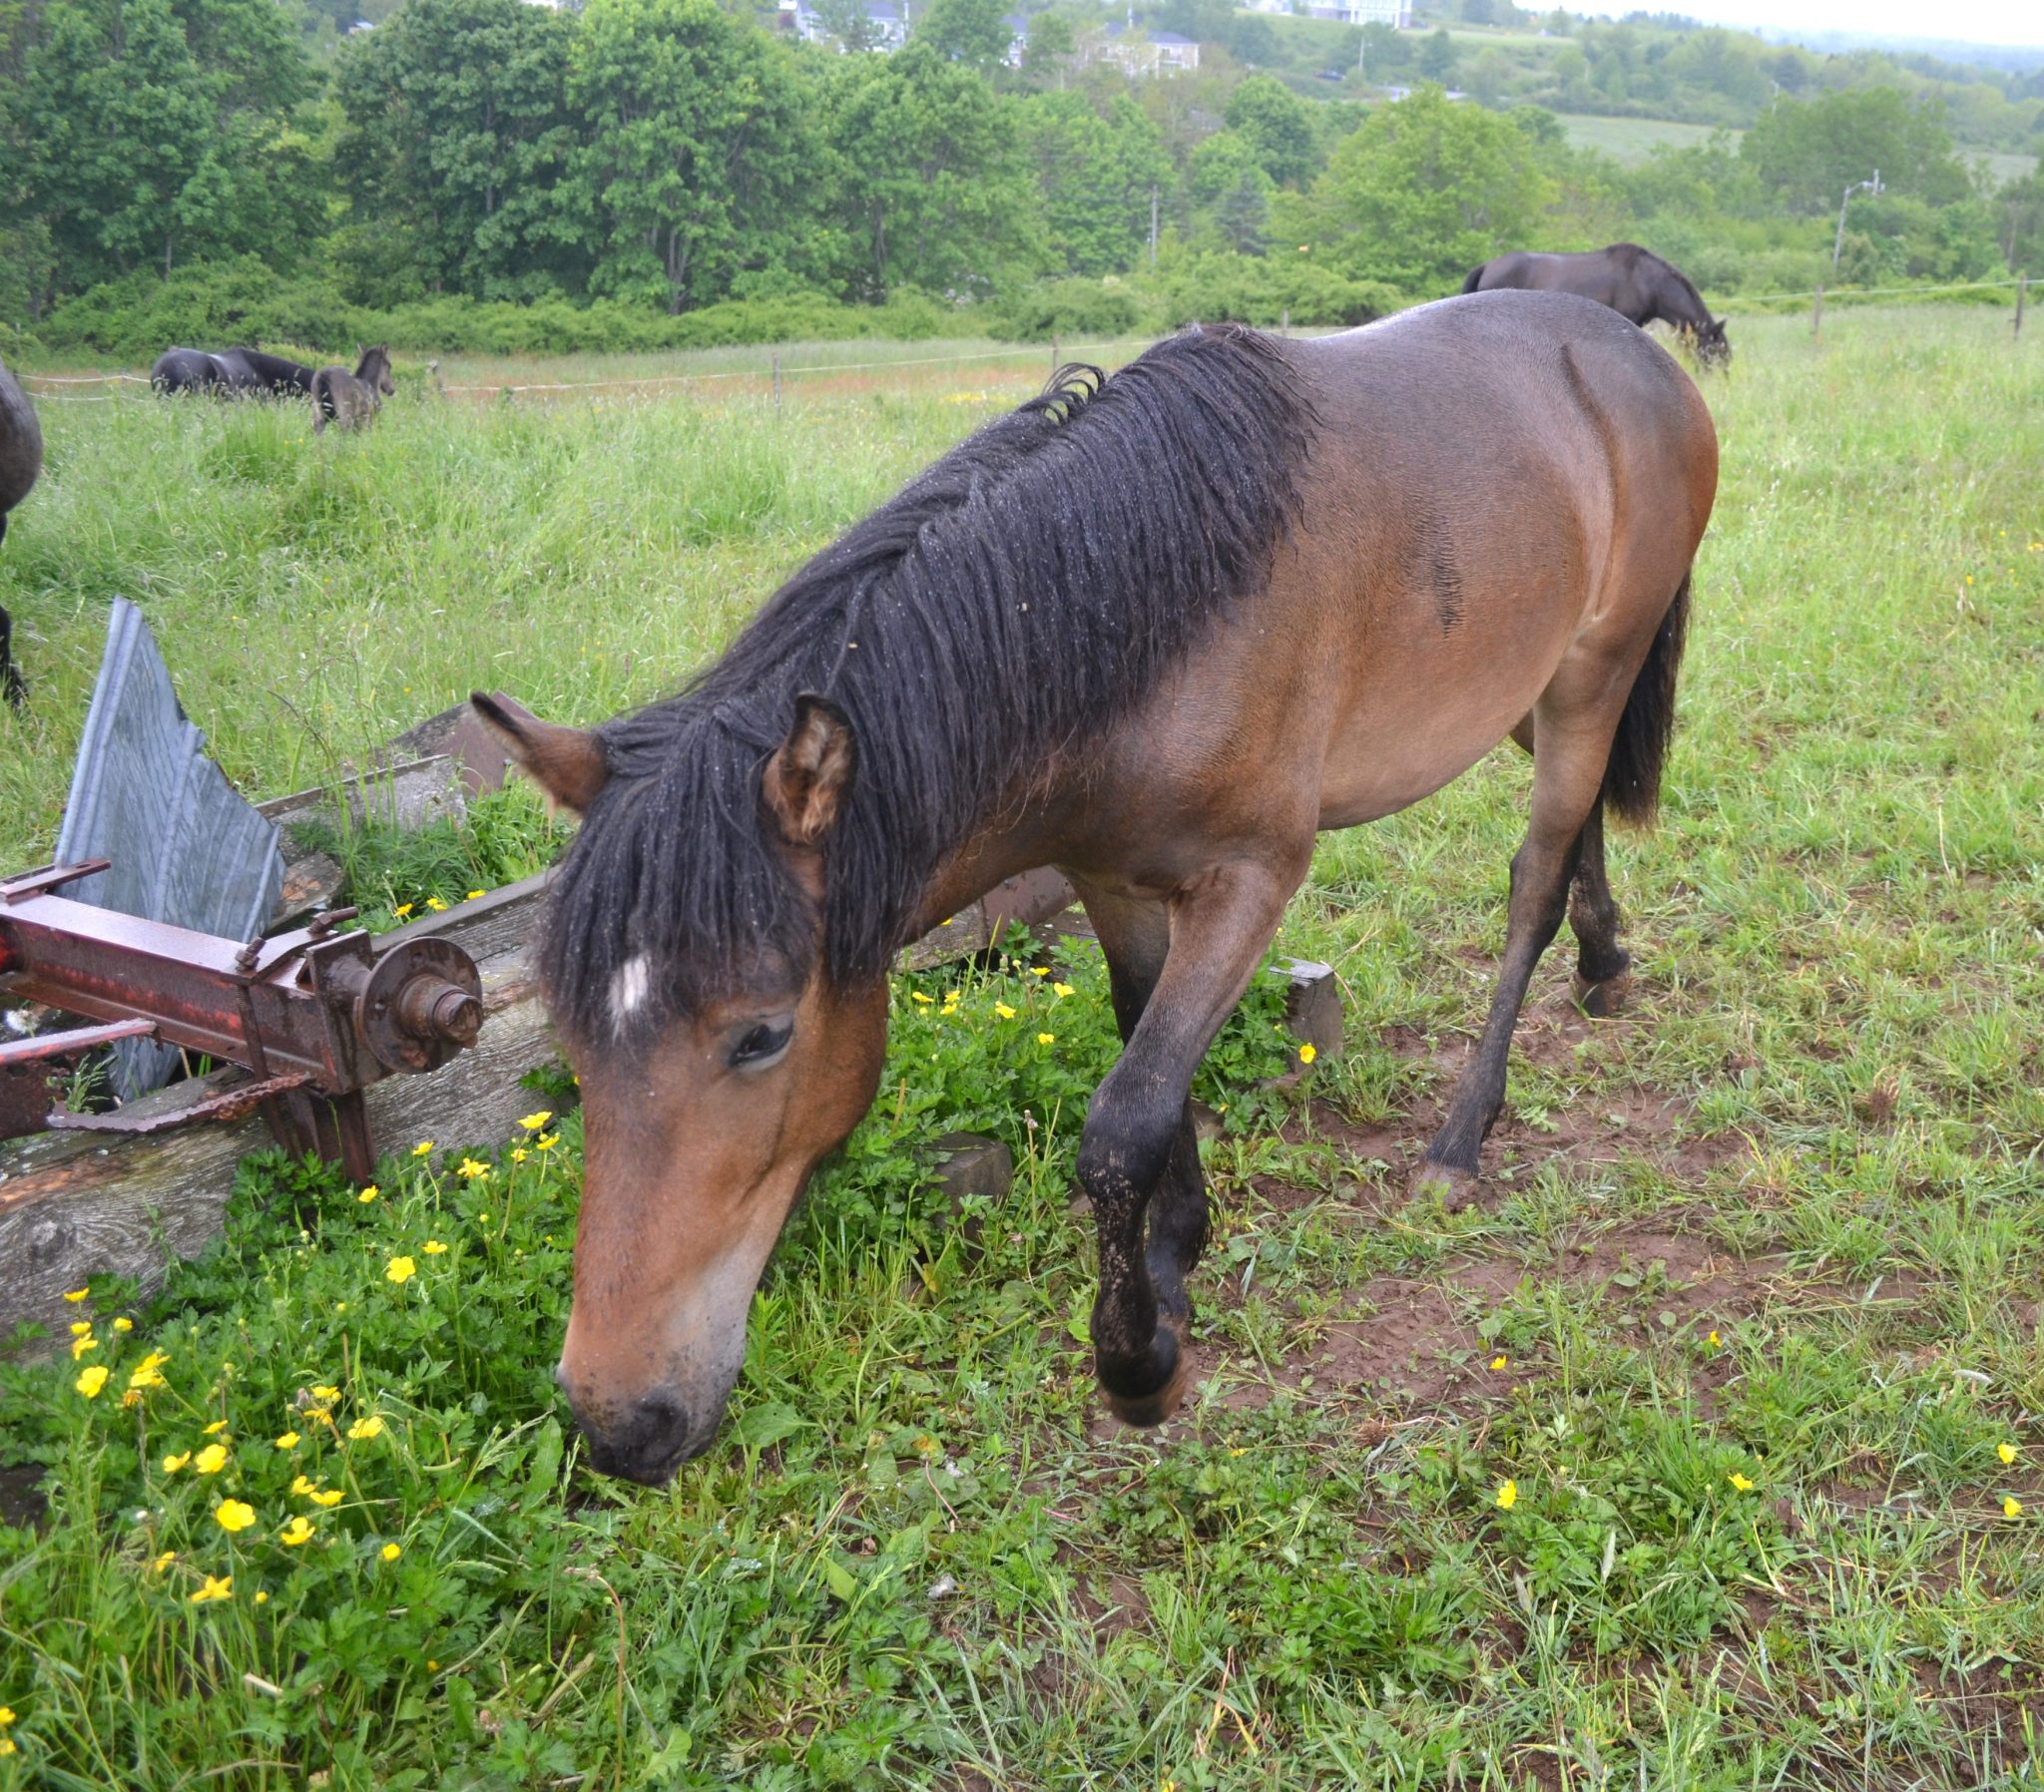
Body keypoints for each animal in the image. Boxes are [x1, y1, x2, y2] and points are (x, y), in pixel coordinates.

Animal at [472, 289, 1719, 1485]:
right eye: (574, 1036)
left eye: (761, 1034)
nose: (619, 1416)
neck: (1139, 609)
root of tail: (1629, 354)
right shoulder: (1108, 875)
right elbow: (1143, 1047)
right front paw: (1176, 1253)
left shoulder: (1250, 879)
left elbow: (1121, 1118)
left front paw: (1136, 1359)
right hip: (1530, 685)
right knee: (1578, 828)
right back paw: (1604, 962)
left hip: (1592, 669)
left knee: (1531, 880)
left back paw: (1461, 1138)